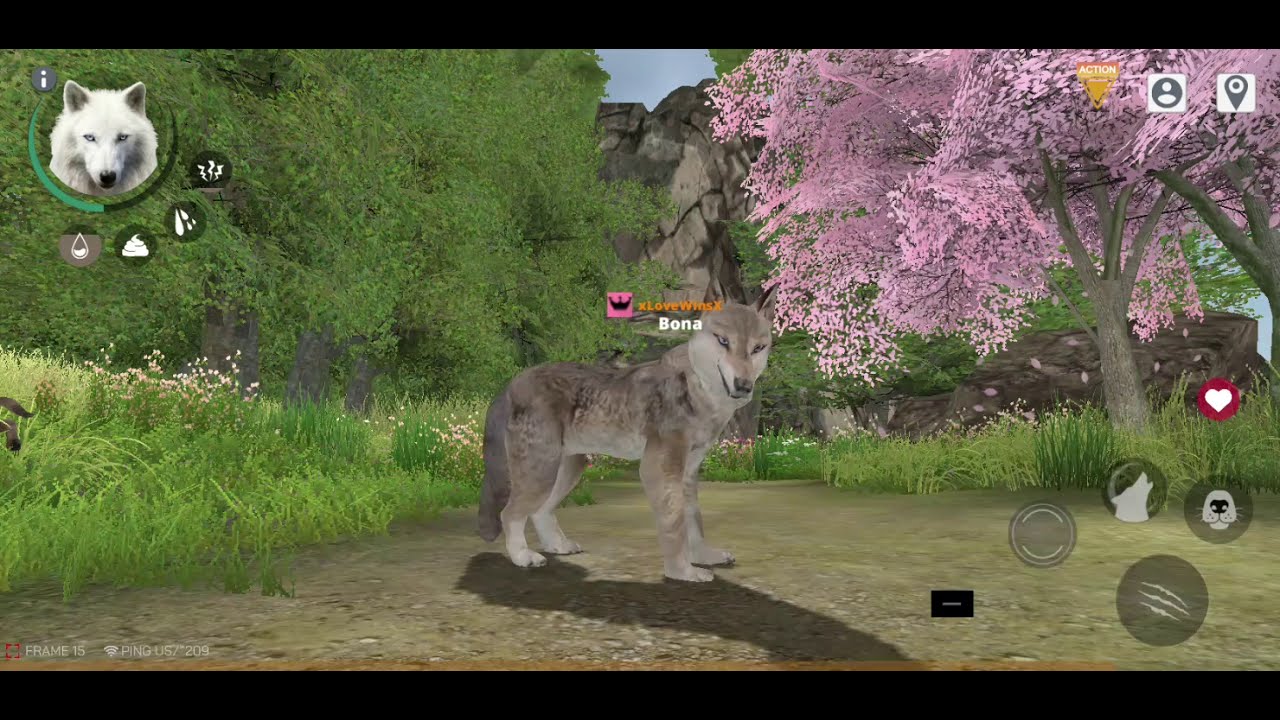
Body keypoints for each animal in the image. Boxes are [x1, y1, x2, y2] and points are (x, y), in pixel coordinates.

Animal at [478, 286, 776, 582]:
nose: (744, 385)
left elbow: (694, 520)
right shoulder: (658, 469)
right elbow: (675, 526)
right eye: (723, 341)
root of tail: (511, 384)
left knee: (539, 511)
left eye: (757, 348)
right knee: (509, 514)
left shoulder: (689, 471)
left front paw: (703, 557)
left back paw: (558, 546)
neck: (700, 389)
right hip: (542, 471)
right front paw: (682, 572)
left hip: (566, 470)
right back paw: (522, 557)